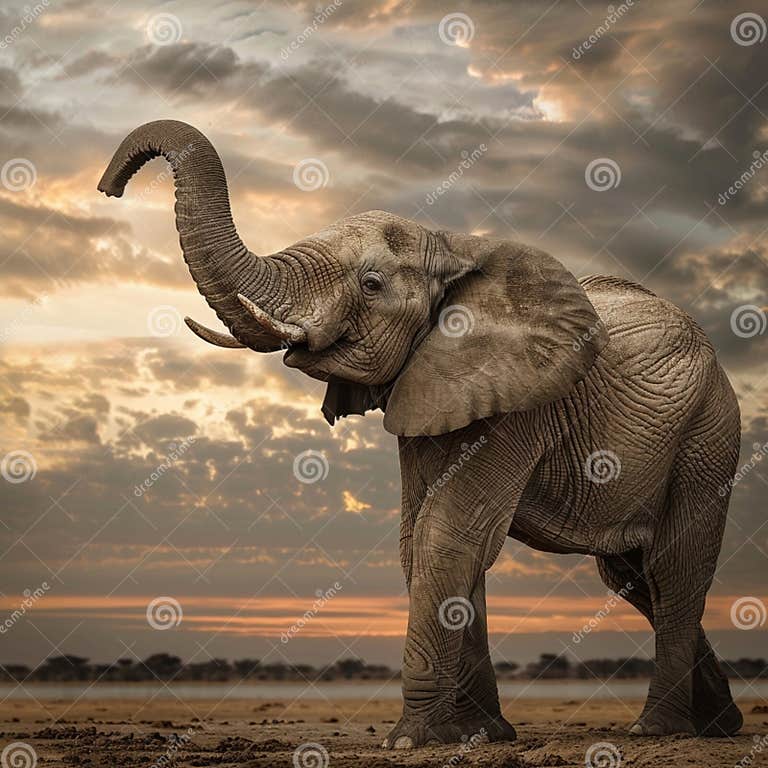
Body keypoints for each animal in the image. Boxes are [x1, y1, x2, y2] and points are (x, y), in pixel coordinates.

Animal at [98, 120, 743, 747]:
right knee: (632, 577)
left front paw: (410, 741)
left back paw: (659, 729)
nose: (109, 188)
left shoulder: (519, 403)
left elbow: (450, 535)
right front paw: (480, 735)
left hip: (709, 431)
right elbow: (424, 539)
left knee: (673, 566)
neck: (454, 244)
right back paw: (720, 724)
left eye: (372, 283)